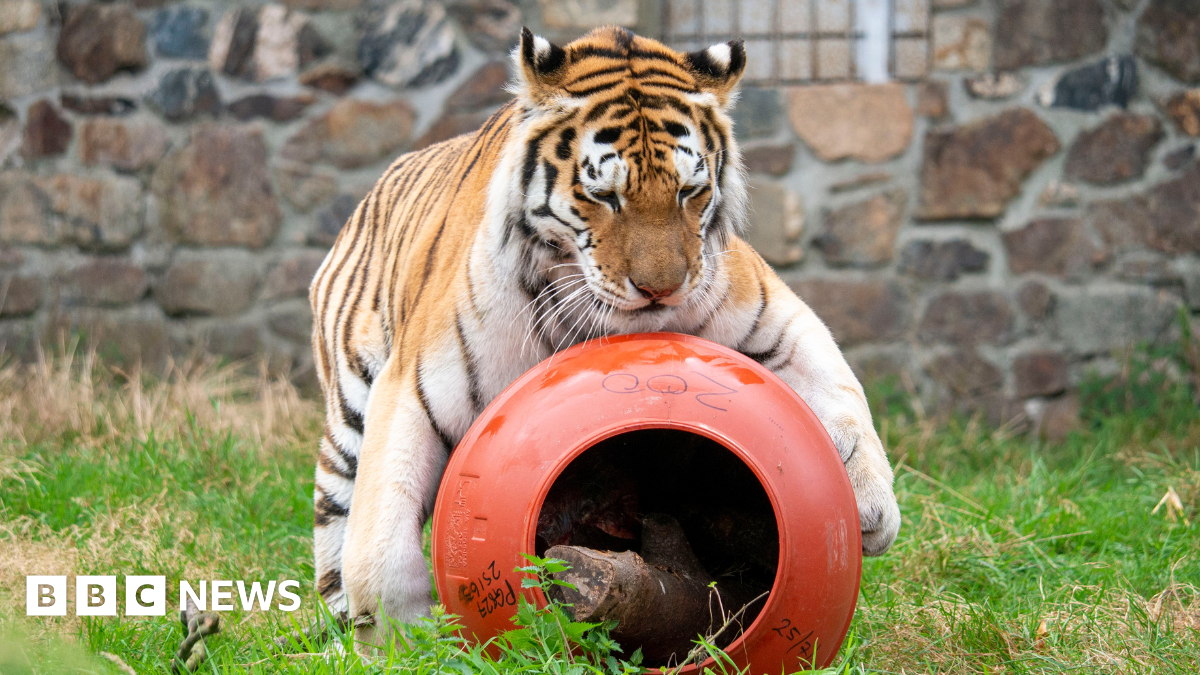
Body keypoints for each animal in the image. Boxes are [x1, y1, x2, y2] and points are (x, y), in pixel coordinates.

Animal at [308, 25, 900, 642]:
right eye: (604, 196)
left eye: (689, 191)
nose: (661, 288)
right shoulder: (415, 387)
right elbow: (380, 535)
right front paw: (402, 636)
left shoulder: (765, 305)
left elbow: (839, 387)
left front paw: (872, 511)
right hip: (348, 405)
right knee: (335, 509)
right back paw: (337, 630)